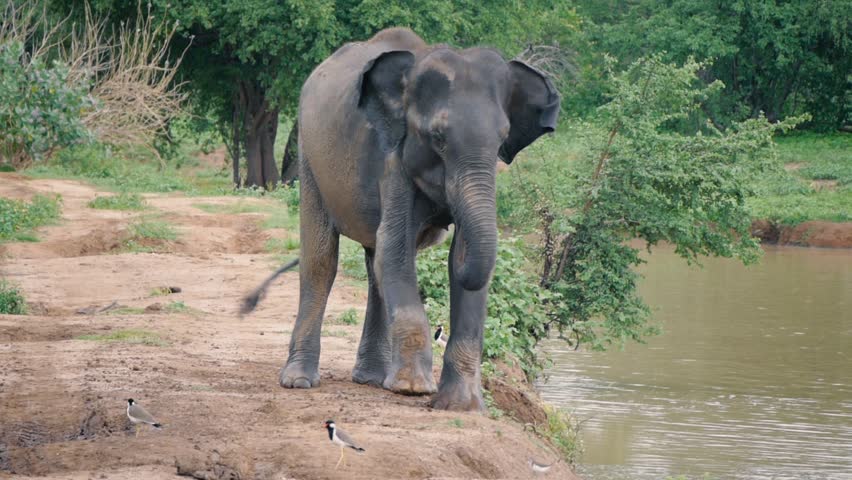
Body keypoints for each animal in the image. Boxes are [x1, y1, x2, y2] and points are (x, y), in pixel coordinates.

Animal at [242, 27, 559, 411]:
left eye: (502, 139)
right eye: (437, 137)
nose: (442, 224)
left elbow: (441, 262)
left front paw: (460, 406)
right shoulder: (392, 161)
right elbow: (396, 252)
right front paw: (413, 389)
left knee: (373, 265)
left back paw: (371, 379)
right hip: (309, 154)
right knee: (322, 261)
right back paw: (300, 380)